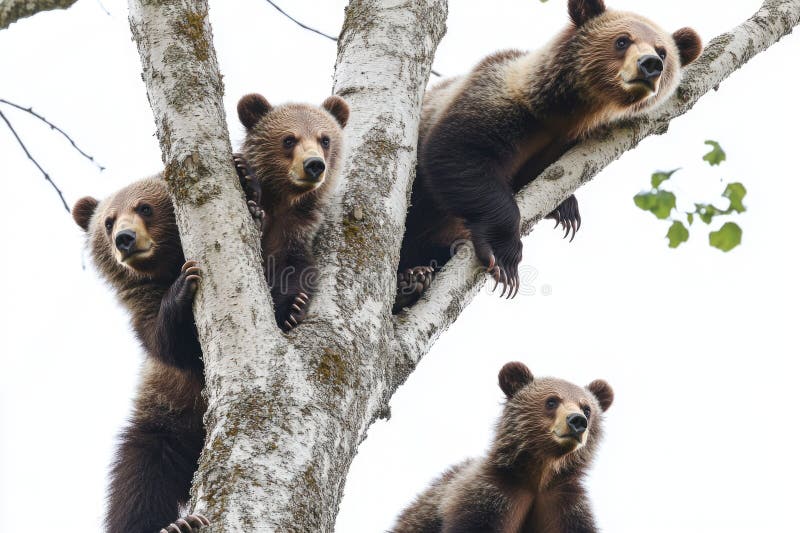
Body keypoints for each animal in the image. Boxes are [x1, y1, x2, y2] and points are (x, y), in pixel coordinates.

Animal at [73, 177, 209, 533]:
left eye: (144, 207)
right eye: (108, 222)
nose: (125, 239)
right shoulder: (144, 310)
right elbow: (169, 344)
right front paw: (182, 288)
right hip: (164, 423)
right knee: (138, 480)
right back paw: (174, 525)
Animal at [233, 93, 349, 331]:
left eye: (325, 139)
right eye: (289, 139)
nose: (314, 164)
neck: (283, 199)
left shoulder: (295, 226)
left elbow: (295, 267)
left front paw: (293, 306)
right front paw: (246, 177)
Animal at [391, 361, 614, 533]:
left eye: (587, 408)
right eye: (552, 401)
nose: (577, 421)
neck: (539, 477)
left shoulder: (564, 506)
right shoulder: (490, 498)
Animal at [394, 0, 703, 309]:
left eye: (662, 51)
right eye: (622, 40)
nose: (651, 65)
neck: (562, 113)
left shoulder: (557, 144)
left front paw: (566, 209)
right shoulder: (492, 101)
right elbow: (458, 155)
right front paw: (506, 257)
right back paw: (412, 278)